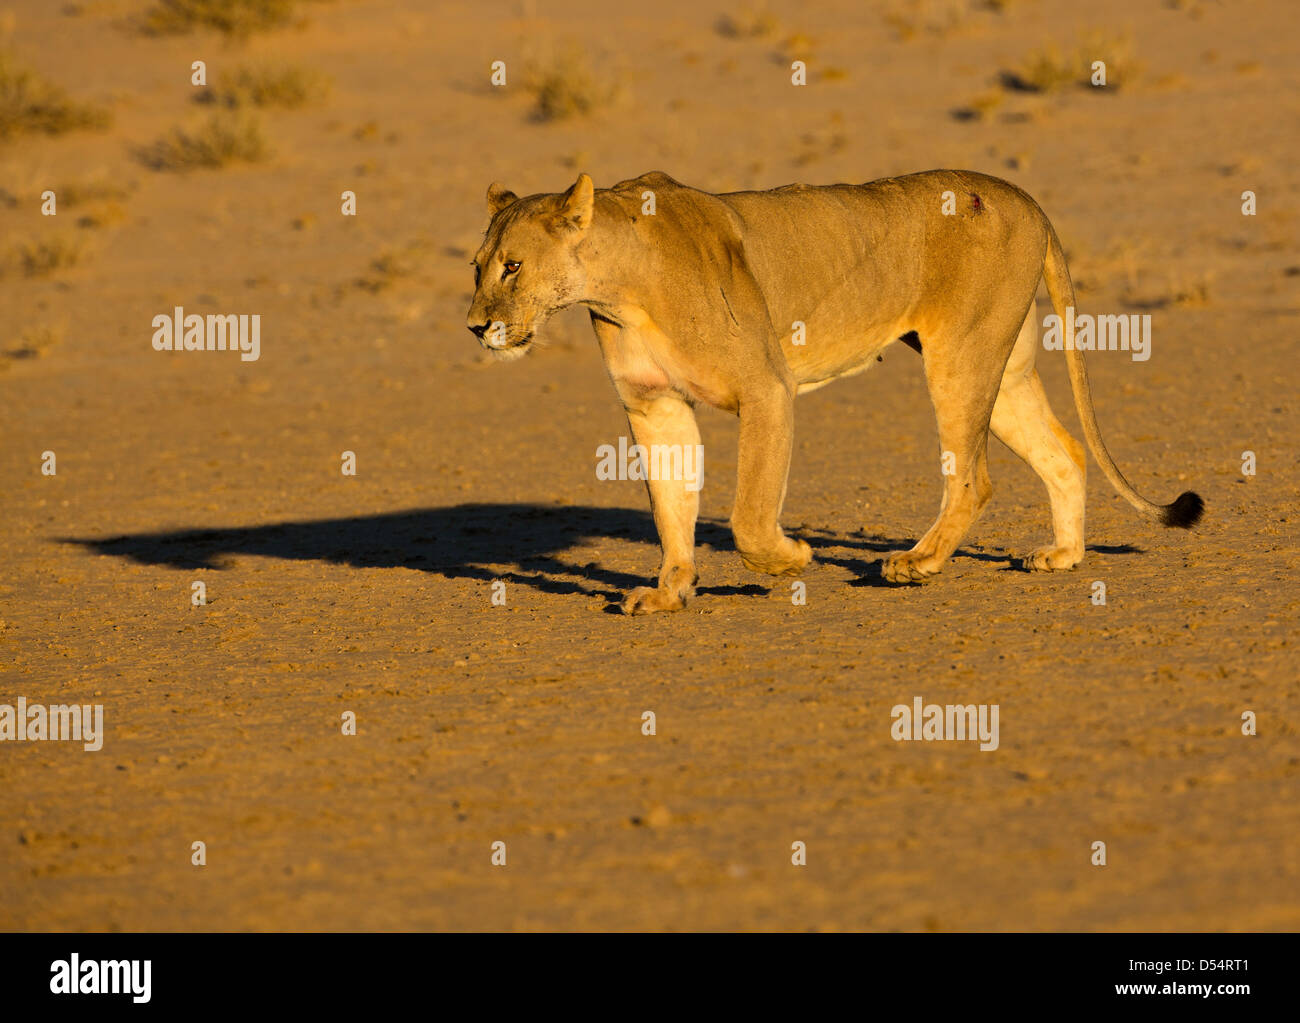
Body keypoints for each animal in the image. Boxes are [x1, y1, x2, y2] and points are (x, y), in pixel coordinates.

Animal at [466, 170, 1203, 614]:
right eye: (476, 268)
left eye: (513, 266)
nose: (476, 326)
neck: (617, 286)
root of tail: (1025, 197)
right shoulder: (654, 405)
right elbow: (670, 507)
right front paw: (669, 592)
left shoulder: (767, 386)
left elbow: (747, 514)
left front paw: (792, 557)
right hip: (1005, 364)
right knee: (1065, 451)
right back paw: (1064, 556)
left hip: (960, 357)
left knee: (974, 477)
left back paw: (918, 562)